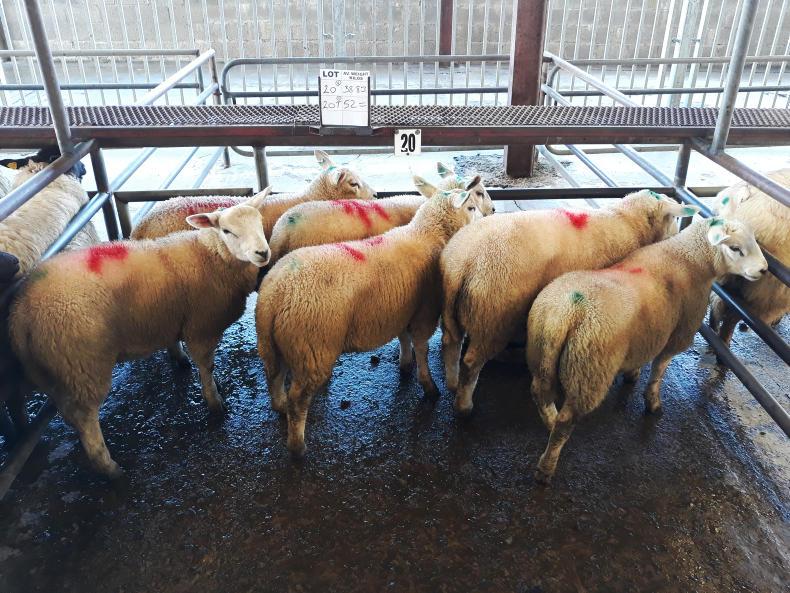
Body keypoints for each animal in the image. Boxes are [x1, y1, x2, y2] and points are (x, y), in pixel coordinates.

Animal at [8, 190, 274, 477]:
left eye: (259, 223)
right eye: (227, 230)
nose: (262, 252)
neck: (211, 254)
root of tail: (20, 310)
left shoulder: (171, 316)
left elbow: (176, 344)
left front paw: (181, 361)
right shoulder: (201, 326)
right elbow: (206, 367)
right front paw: (215, 402)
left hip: (57, 368)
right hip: (82, 363)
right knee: (86, 419)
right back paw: (111, 469)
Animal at [256, 184, 489, 458]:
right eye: (470, 207)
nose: (487, 219)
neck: (426, 234)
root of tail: (274, 295)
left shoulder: (402, 308)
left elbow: (404, 337)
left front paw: (405, 363)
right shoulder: (424, 310)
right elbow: (421, 347)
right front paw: (429, 386)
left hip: (273, 344)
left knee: (274, 376)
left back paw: (280, 407)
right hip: (312, 347)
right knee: (298, 400)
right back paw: (297, 446)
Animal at [441, 189, 699, 416]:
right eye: (675, 216)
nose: (676, 232)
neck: (627, 220)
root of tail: (460, 264)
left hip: (462, 311)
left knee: (451, 343)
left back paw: (452, 383)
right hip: (494, 316)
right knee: (472, 362)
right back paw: (464, 406)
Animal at [526, 216, 767, 483]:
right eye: (735, 248)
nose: (764, 269)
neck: (690, 259)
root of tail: (567, 313)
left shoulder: (649, 329)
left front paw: (633, 374)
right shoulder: (677, 334)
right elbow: (659, 370)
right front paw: (653, 403)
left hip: (541, 353)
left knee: (540, 392)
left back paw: (549, 421)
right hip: (589, 372)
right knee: (565, 422)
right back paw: (546, 467)